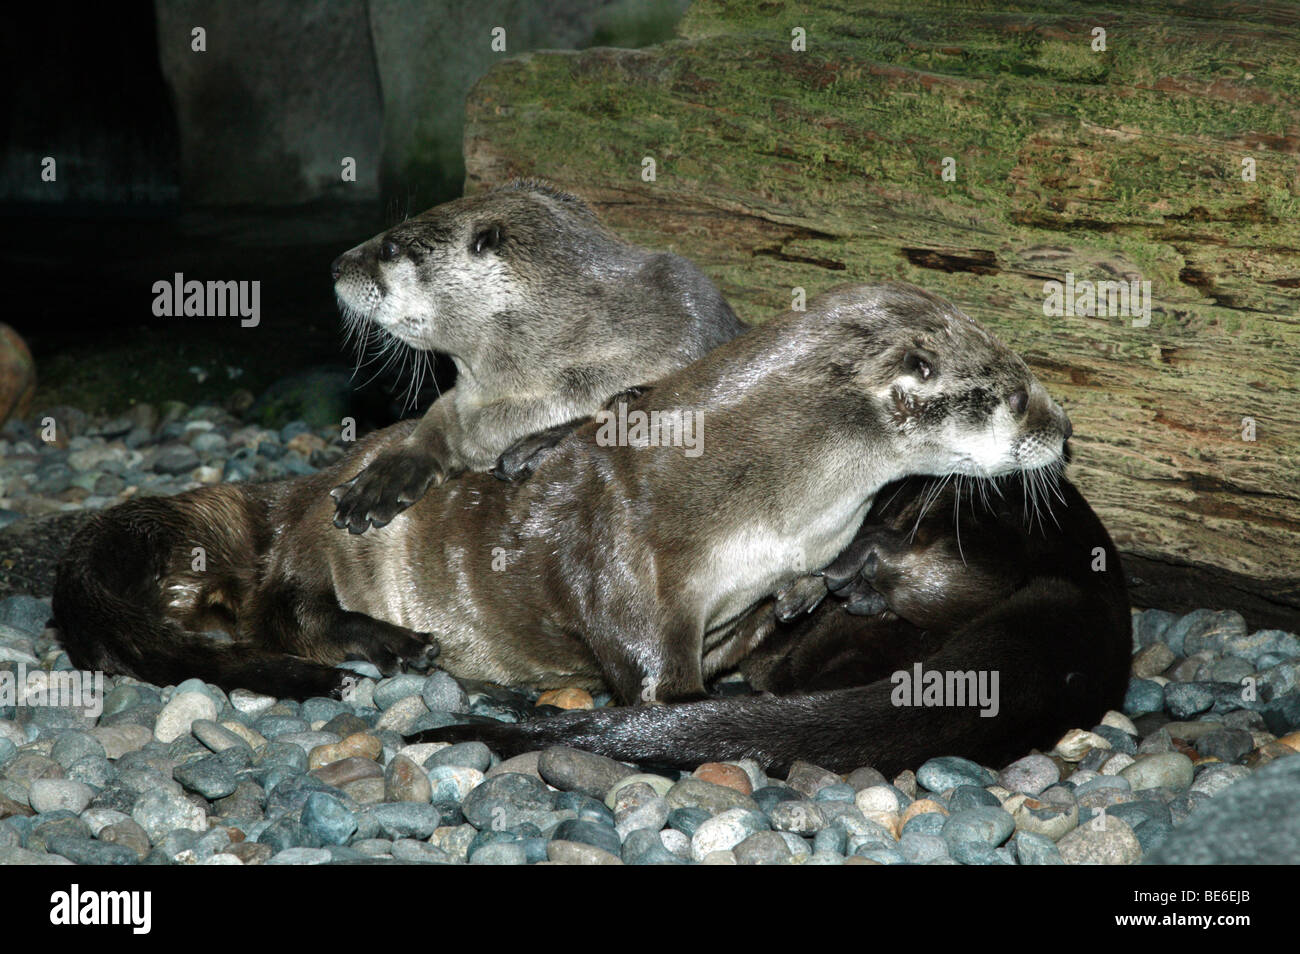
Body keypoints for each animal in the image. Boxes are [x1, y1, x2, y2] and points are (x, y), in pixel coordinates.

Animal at [53, 284, 1071, 707]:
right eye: (1007, 392)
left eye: (1028, 374)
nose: (1064, 433)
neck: (773, 492)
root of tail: (288, 491)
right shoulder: (627, 544)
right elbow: (645, 661)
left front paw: (803, 598)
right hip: (318, 535)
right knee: (283, 611)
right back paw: (389, 645)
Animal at [329, 178, 741, 533]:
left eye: (389, 249)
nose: (335, 264)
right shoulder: (464, 408)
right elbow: (433, 422)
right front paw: (379, 479)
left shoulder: (690, 334)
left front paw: (536, 446)